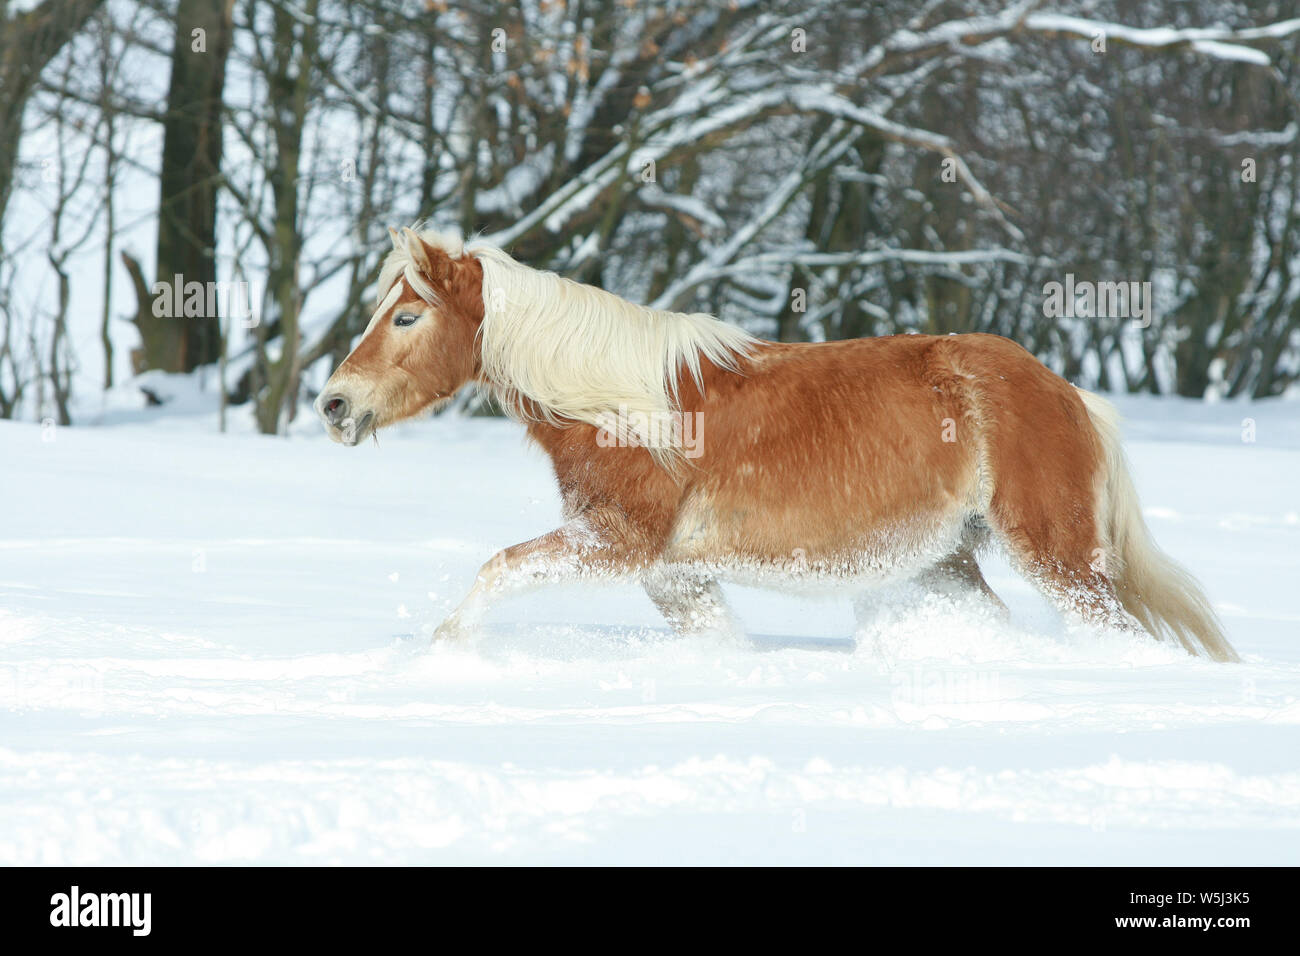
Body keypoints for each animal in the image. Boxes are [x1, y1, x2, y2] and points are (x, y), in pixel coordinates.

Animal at [314, 226, 1238, 662]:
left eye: (407, 315)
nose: (334, 403)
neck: (626, 407)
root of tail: (1069, 393)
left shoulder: (617, 543)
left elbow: (495, 571)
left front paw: (444, 655)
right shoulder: (673, 572)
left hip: (1055, 556)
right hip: (947, 561)